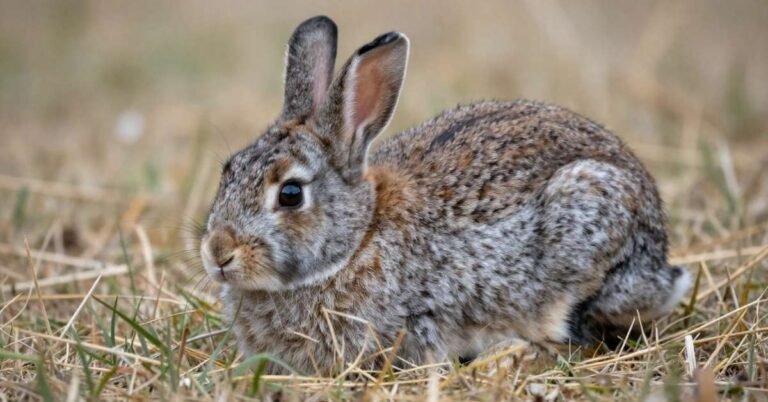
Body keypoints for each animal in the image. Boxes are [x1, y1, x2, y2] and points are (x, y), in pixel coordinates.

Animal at [200, 15, 692, 374]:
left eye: (290, 194)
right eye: (227, 171)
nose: (218, 252)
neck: (356, 240)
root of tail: (660, 260)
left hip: (588, 225)